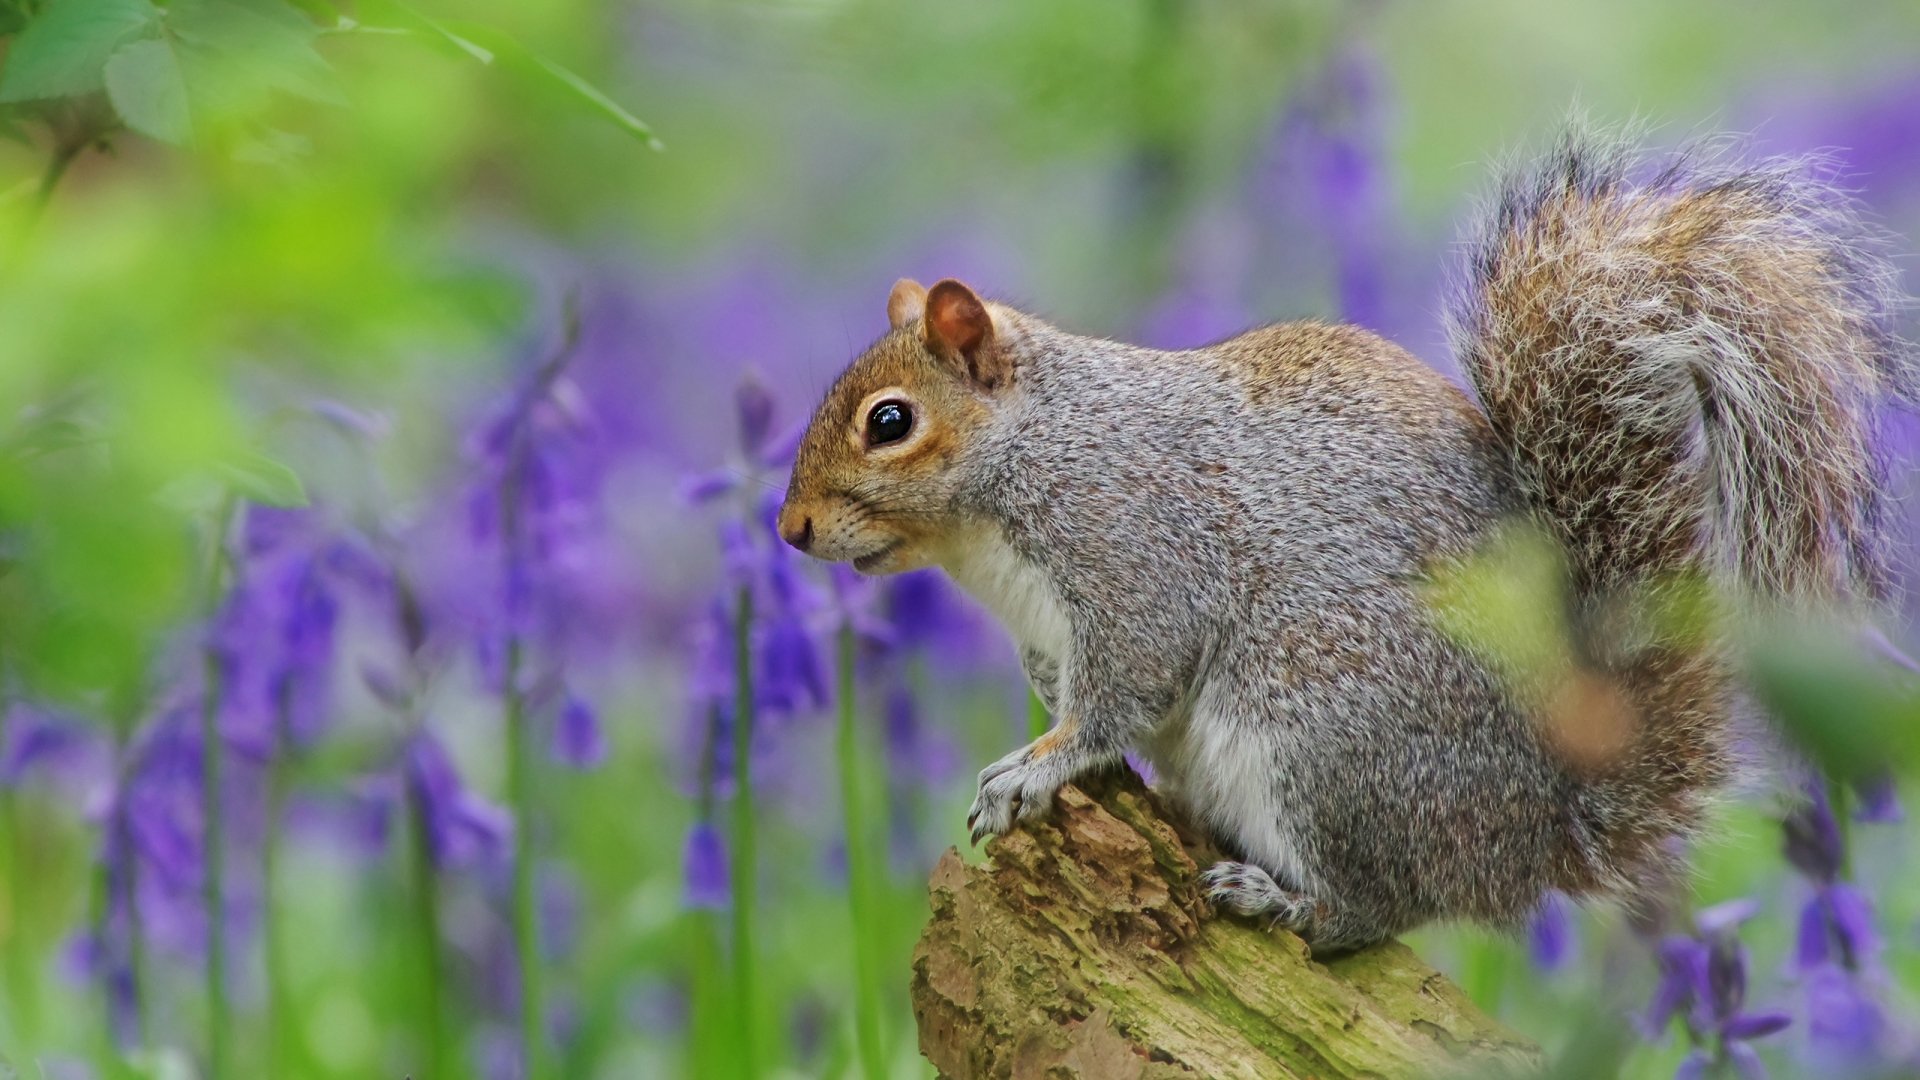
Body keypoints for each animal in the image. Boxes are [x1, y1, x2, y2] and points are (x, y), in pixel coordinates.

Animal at [774, 131, 1915, 952]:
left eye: (889, 422)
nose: (789, 529)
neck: (1031, 459)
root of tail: (1535, 835)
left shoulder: (1136, 550)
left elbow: (1119, 690)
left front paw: (1039, 766)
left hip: (1316, 728)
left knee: (1373, 912)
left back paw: (1281, 901)